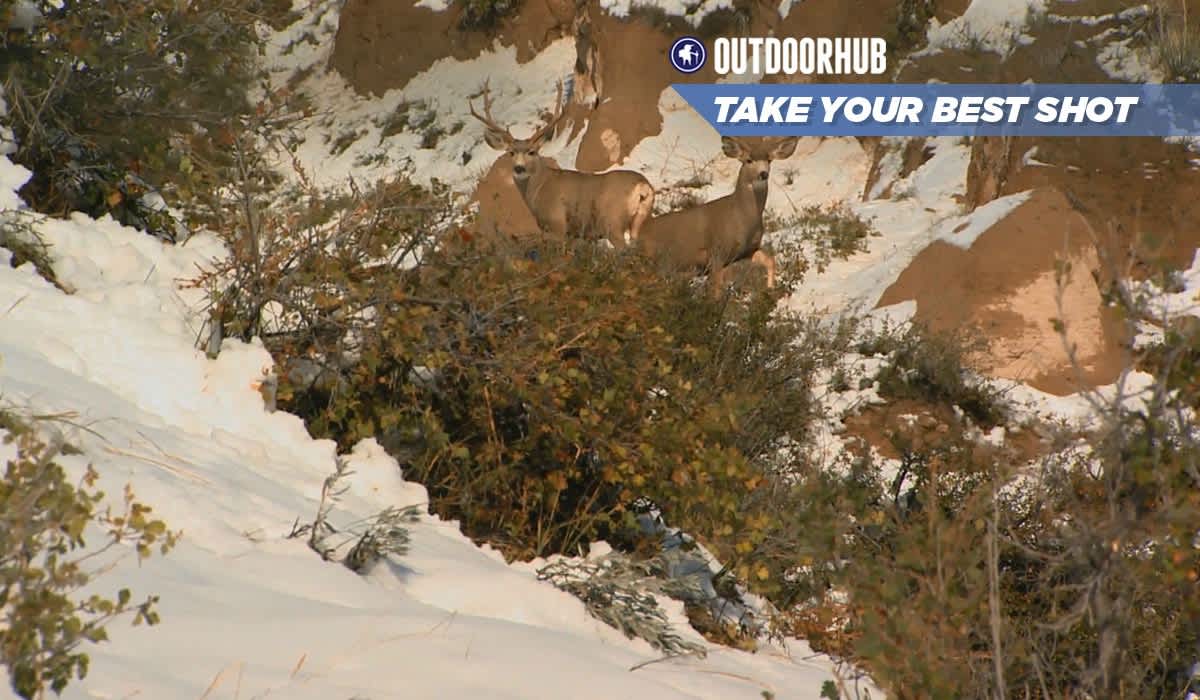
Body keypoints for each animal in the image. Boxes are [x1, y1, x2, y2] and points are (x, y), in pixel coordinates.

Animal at [469, 79, 655, 249]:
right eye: (511, 153)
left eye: (532, 152)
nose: (519, 168)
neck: (539, 189)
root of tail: (643, 187)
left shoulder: (557, 224)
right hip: (639, 221)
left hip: (612, 221)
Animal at [636, 135, 799, 296]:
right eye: (748, 160)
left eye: (769, 159)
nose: (763, 174)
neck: (741, 218)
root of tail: (640, 232)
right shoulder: (717, 253)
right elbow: (716, 291)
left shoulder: (748, 251)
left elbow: (770, 260)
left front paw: (770, 289)